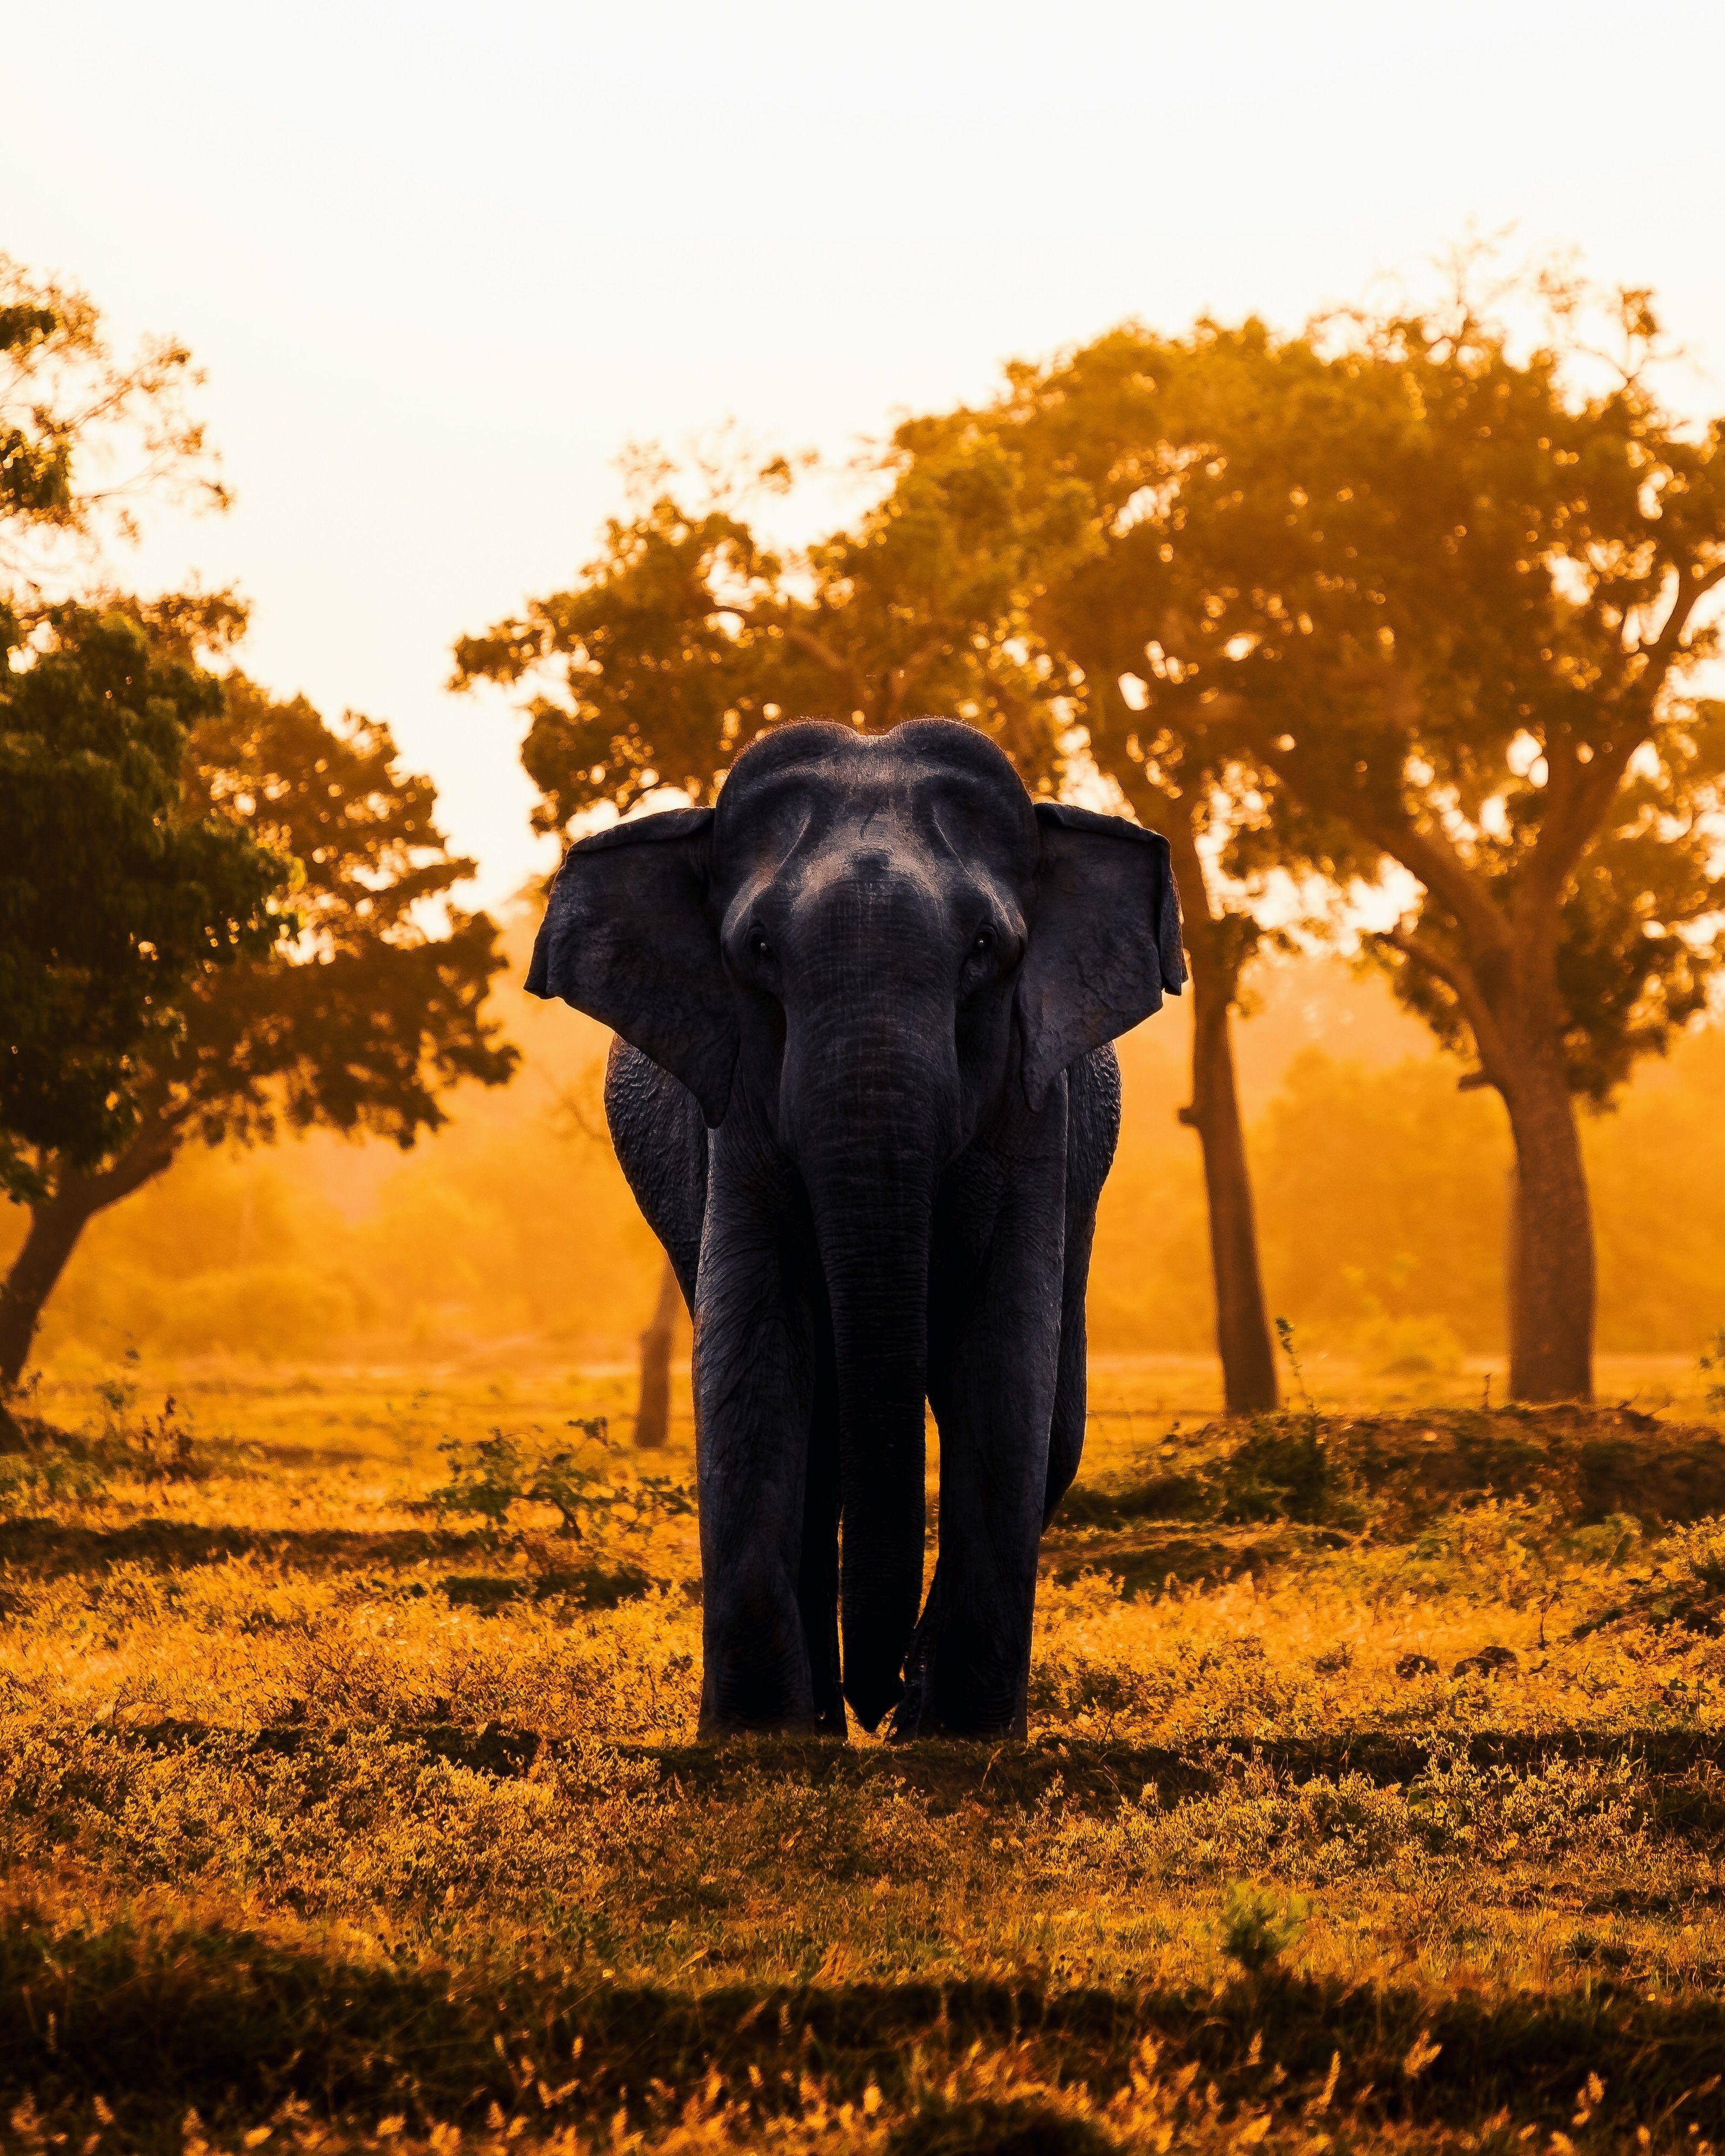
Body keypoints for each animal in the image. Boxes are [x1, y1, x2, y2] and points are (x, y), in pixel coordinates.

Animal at [527, 718, 1183, 1739]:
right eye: (757, 946)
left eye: (984, 946)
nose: (876, 1700)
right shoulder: (734, 1114)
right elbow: (753, 1350)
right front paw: (759, 1737)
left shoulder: (1039, 1107)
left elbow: (1006, 1359)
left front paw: (957, 1732)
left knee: (1055, 1419)